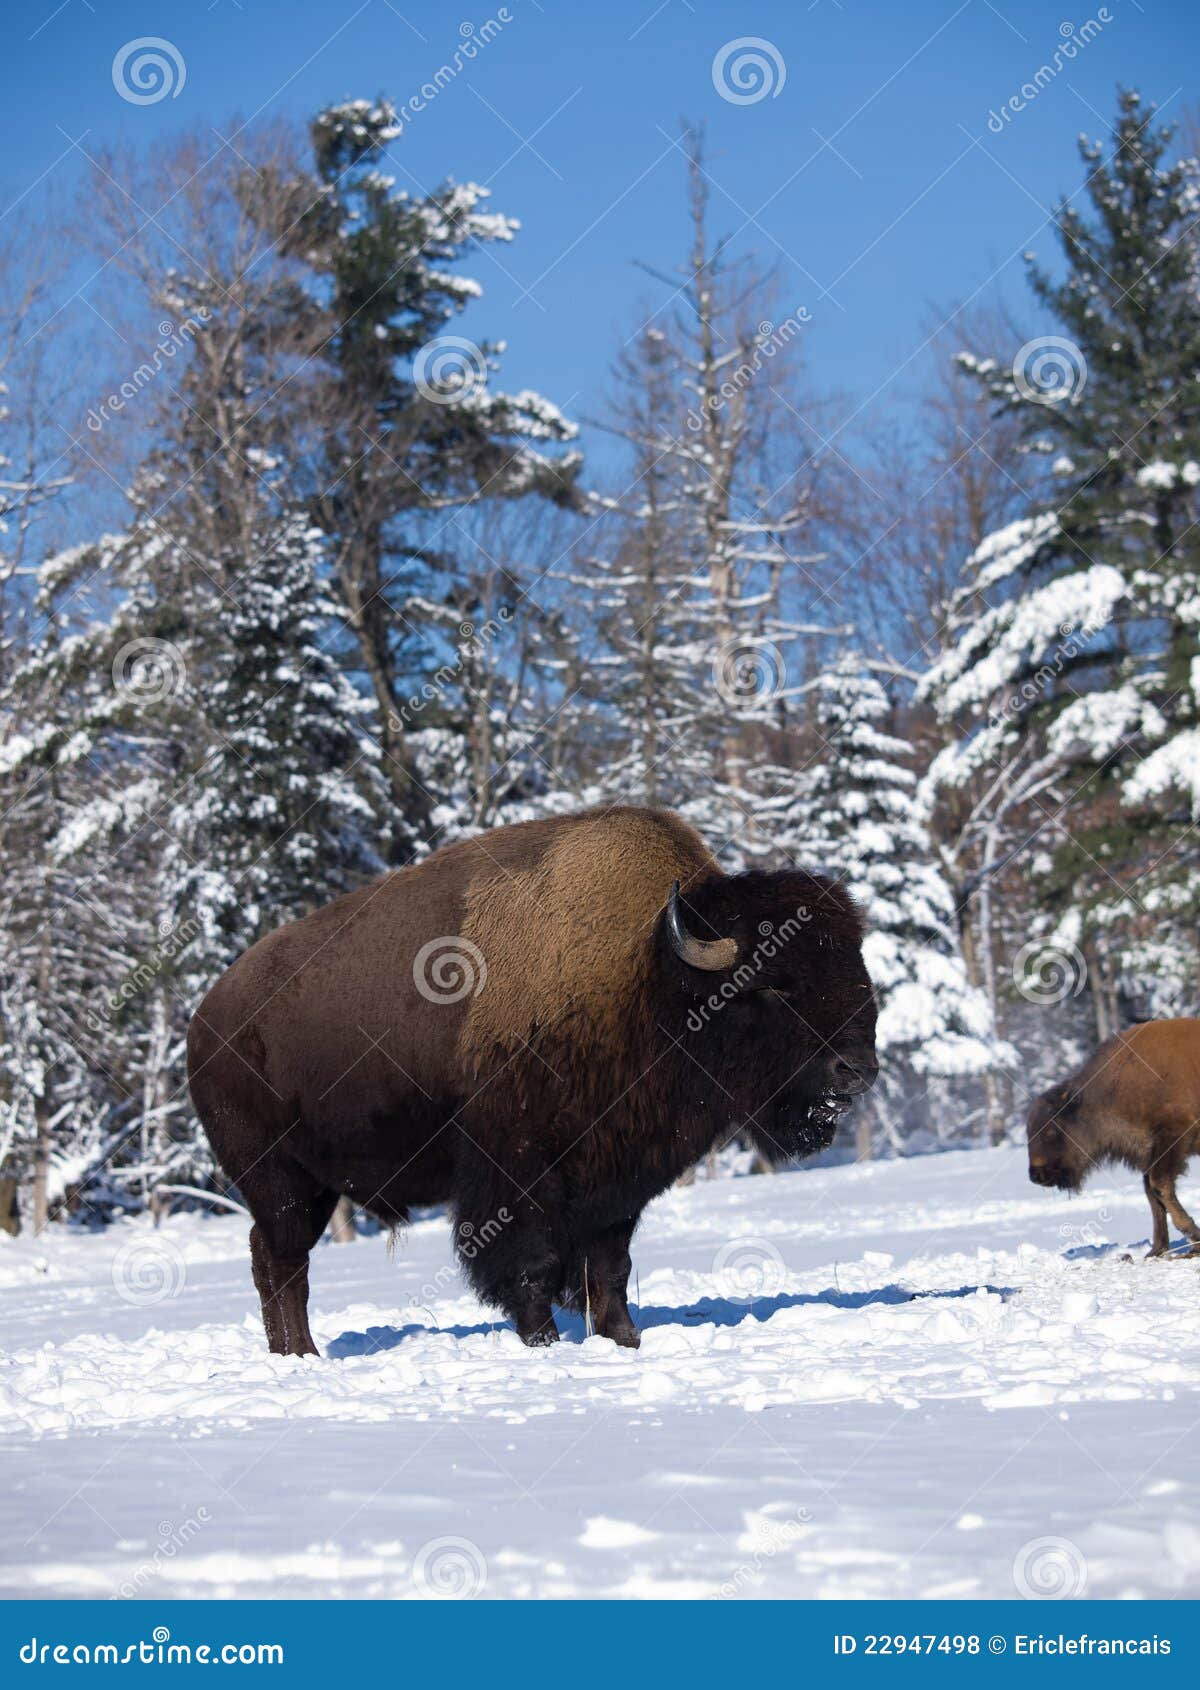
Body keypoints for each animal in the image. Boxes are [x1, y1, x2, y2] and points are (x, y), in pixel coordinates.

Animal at [187, 805, 878, 1355]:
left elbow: (610, 1265)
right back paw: (302, 1356)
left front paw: (623, 1339)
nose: (858, 1070)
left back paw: (293, 1354)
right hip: (278, 1179)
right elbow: (530, 1262)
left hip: (311, 1187)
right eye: (772, 987)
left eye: (856, 964)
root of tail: (204, 1024)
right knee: (283, 1263)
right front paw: (543, 1340)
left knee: (274, 1258)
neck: (647, 972)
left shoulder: (617, 1177)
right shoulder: (515, 1175)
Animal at [1027, 1018, 1200, 1256]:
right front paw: (1156, 1250)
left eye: (1052, 1132)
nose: (1036, 1175)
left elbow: (1159, 1186)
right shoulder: (1148, 1152)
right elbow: (1152, 1196)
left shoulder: (1172, 1138)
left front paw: (1194, 1239)